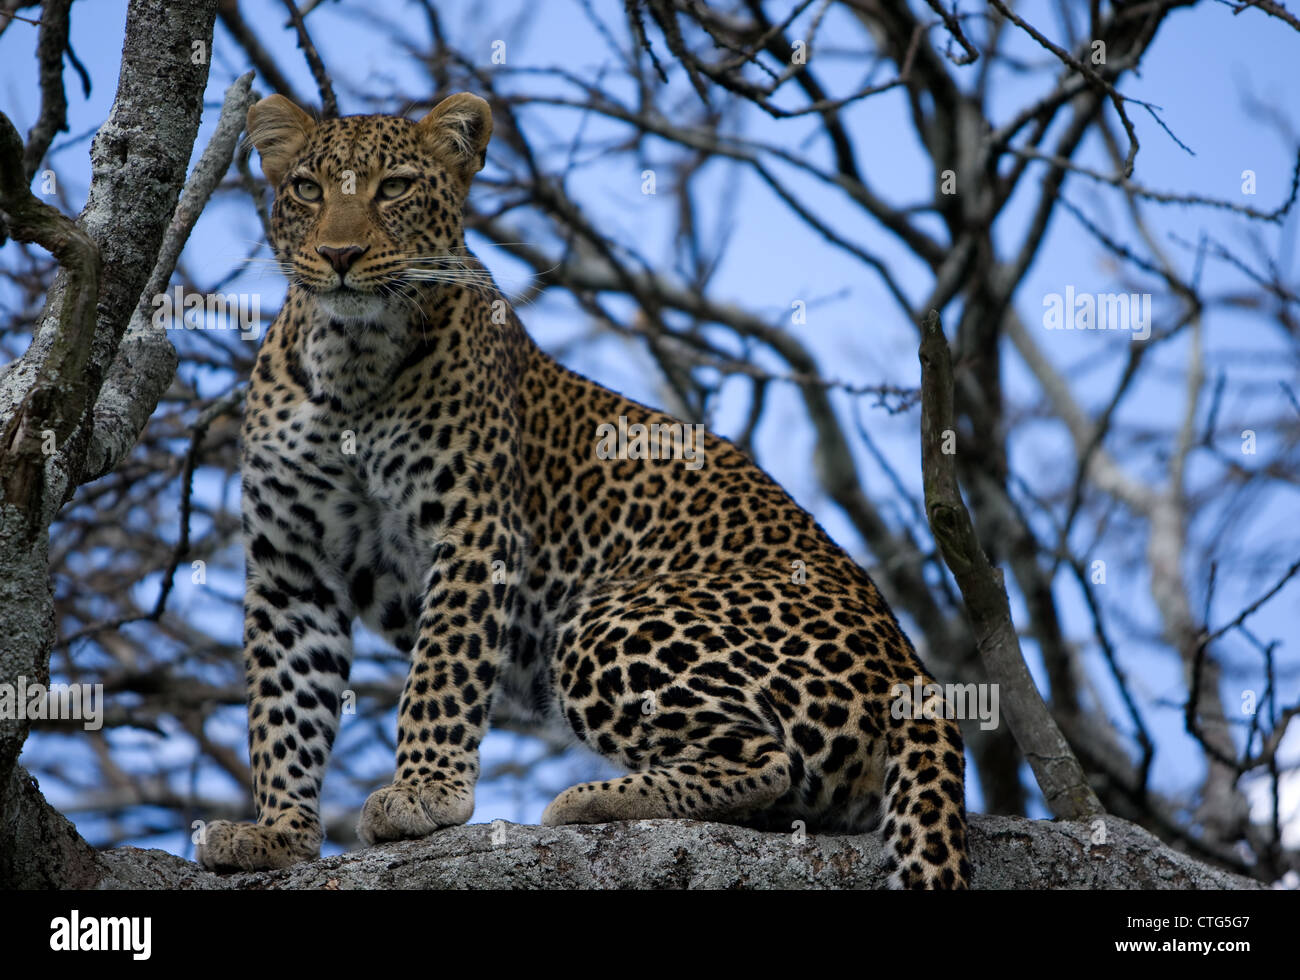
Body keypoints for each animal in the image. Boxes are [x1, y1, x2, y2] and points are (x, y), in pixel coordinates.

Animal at [194, 91, 972, 888]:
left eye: (396, 188)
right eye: (307, 190)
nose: (340, 255)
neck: (348, 361)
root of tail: (914, 672)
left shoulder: (472, 530)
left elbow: (443, 667)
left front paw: (424, 792)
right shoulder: (291, 566)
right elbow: (284, 707)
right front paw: (279, 834)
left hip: (605, 618)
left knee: (764, 758)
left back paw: (589, 801)